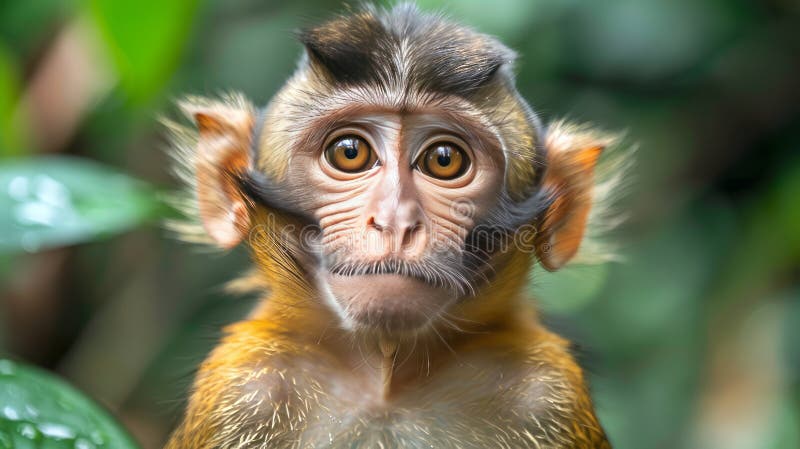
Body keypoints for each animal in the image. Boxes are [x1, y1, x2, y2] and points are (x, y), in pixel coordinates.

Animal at [164, 3, 621, 448]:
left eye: (444, 159)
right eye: (350, 152)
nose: (396, 221)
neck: (383, 381)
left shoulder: (547, 394)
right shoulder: (243, 387)